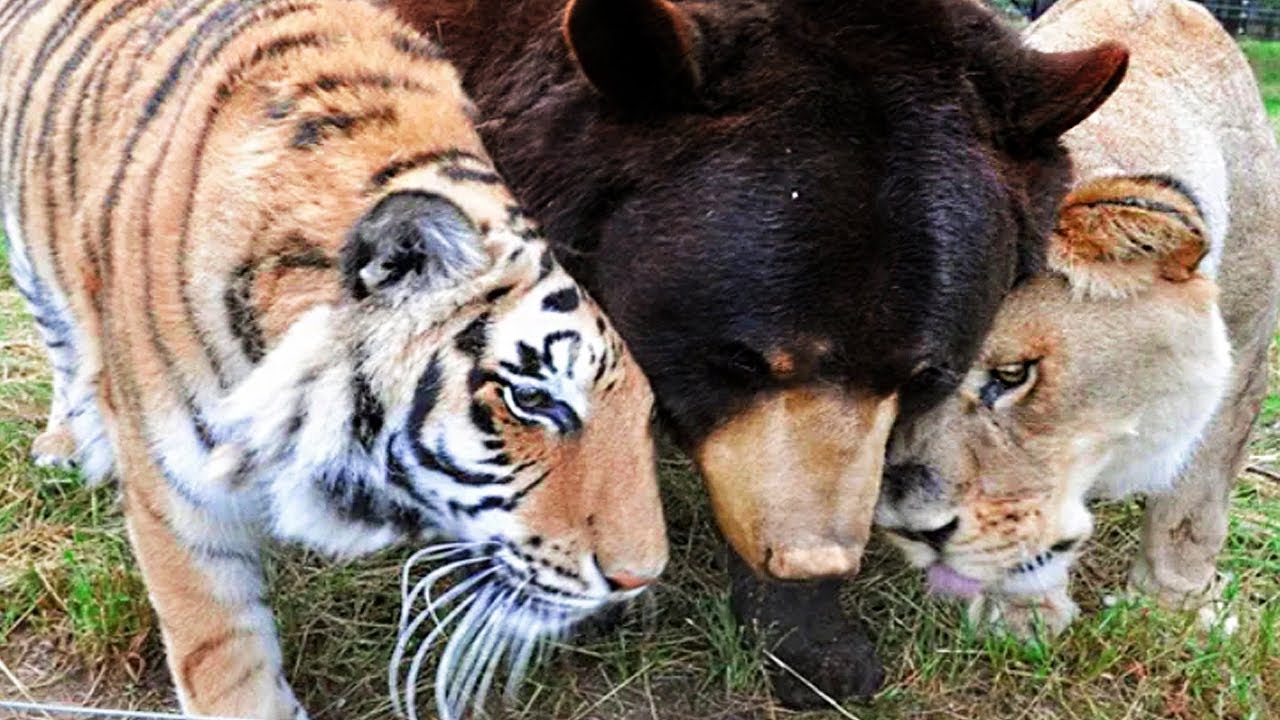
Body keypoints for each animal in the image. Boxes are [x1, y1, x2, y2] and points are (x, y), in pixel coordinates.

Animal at [0, 1, 668, 718]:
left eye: (644, 411)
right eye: (533, 399)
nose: (639, 578)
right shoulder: (178, 496)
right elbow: (223, 655)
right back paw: (67, 443)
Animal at [873, 0, 1280, 635]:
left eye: (1012, 377)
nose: (909, 530)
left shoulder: (1244, 362)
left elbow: (1194, 507)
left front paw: (1175, 610)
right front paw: (1021, 619)